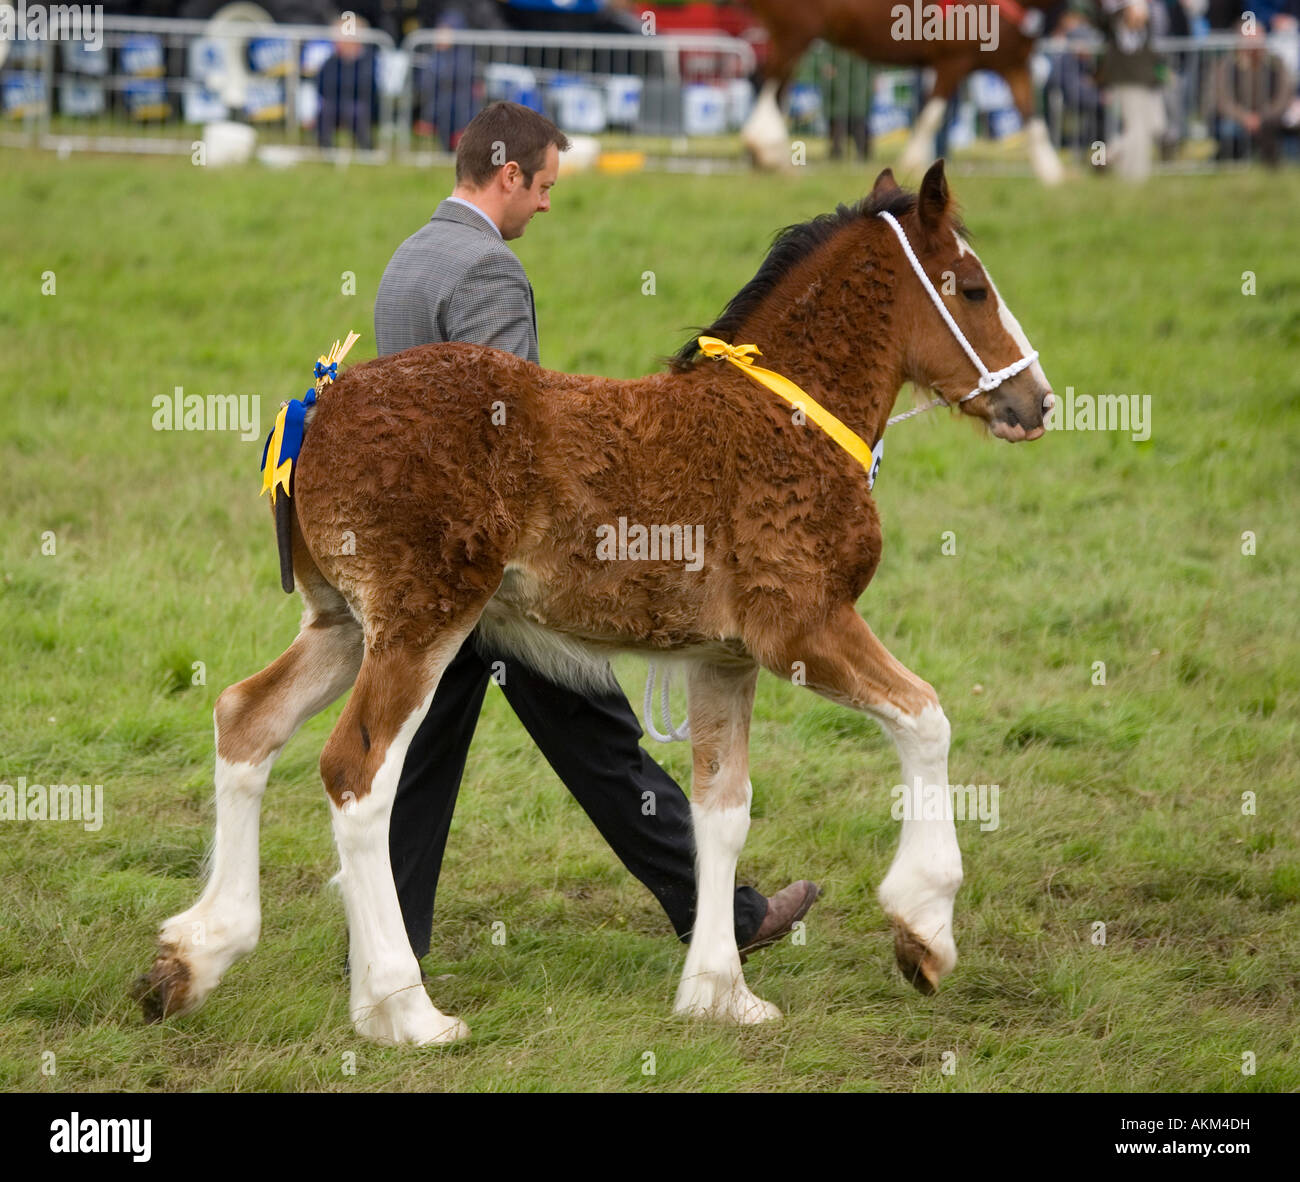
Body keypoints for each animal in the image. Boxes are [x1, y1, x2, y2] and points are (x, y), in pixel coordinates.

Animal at [135, 161, 1053, 1045]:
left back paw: (193, 956)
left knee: (246, 717)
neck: (783, 419)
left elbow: (722, 811)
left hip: (343, 627)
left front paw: (721, 995)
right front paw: (923, 931)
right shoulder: (801, 627)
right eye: (973, 287)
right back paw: (404, 1010)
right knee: (358, 775)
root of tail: (316, 409)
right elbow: (926, 717)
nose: (1037, 401)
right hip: (421, 622)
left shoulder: (723, 660)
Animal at [743, 0, 1066, 184]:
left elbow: (1033, 119)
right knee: (768, 83)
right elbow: (932, 113)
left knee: (778, 90)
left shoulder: (1015, 65)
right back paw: (765, 149)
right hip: (795, 32)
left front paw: (1053, 173)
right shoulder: (954, 59)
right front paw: (913, 163)